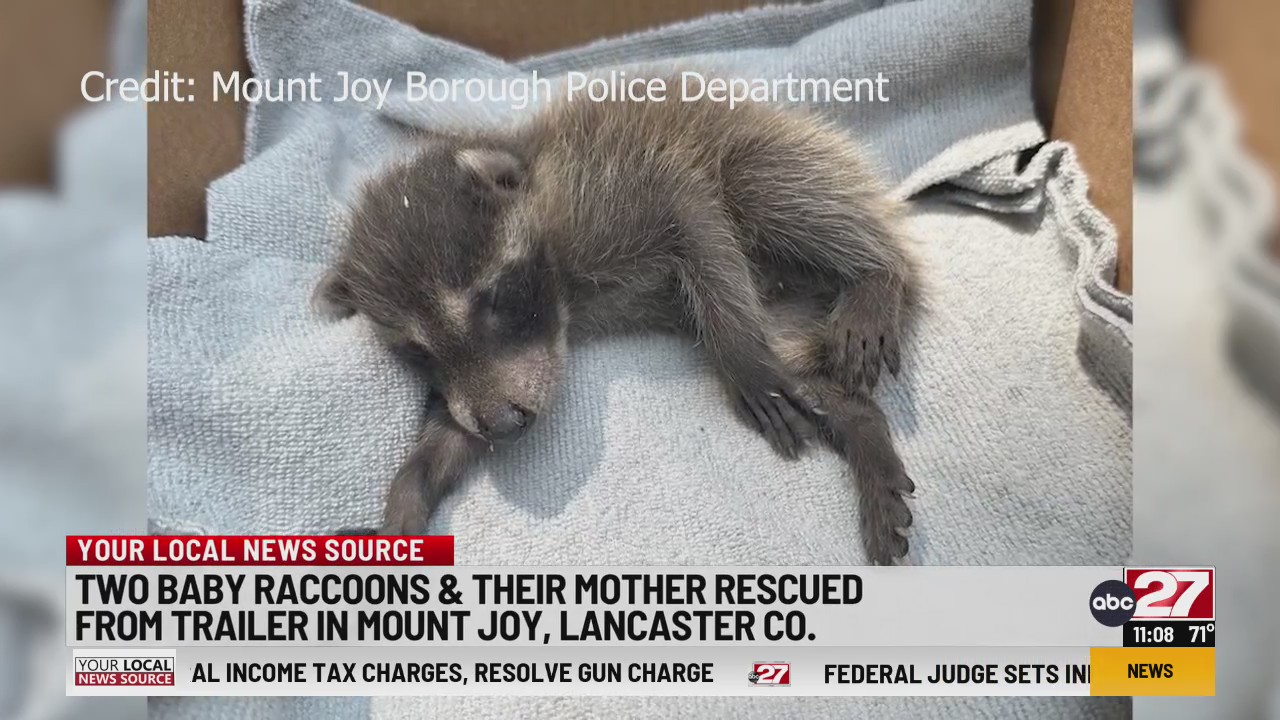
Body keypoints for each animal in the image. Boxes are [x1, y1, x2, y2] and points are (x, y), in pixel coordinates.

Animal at [317, 95, 921, 564]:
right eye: (416, 351)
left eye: (494, 299)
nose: (504, 426)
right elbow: (454, 429)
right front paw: (406, 499)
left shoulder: (626, 176)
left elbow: (697, 218)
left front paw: (742, 359)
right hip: (787, 321)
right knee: (810, 377)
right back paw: (860, 425)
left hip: (790, 159)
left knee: (766, 190)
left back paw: (877, 274)